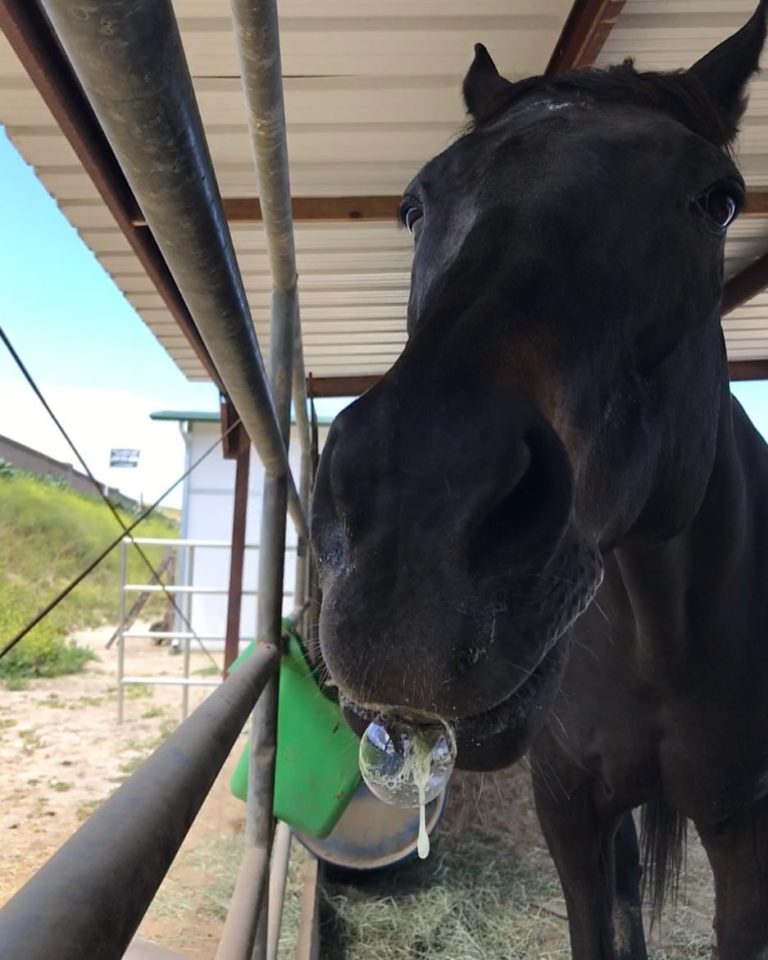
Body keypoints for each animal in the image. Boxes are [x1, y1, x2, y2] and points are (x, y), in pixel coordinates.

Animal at [310, 4, 768, 957]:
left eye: (719, 201)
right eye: (415, 205)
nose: (412, 529)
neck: (657, 636)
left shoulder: (748, 830)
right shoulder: (569, 805)